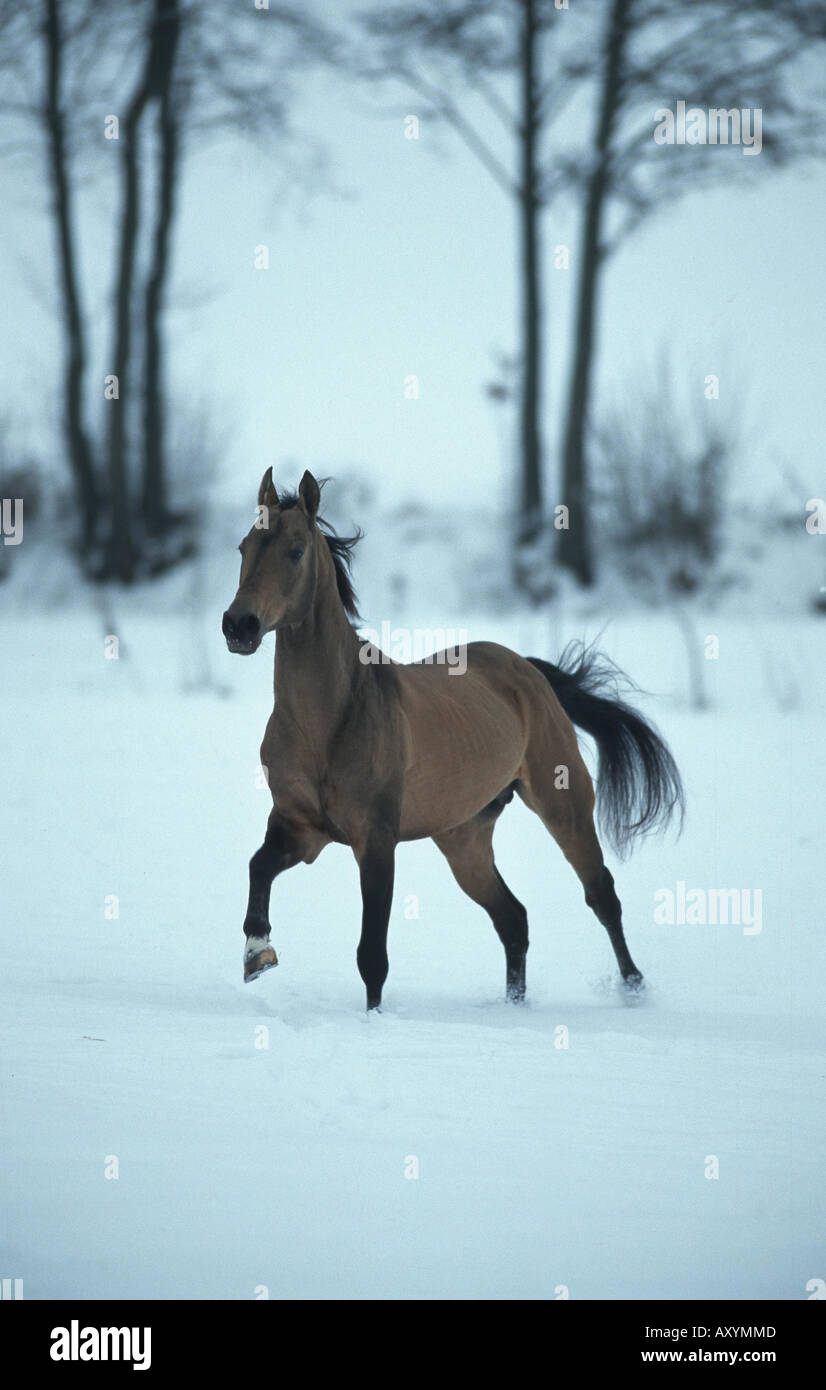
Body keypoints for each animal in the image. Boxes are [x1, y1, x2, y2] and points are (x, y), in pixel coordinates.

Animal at [222, 469, 684, 1010]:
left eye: (295, 550)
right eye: (243, 546)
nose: (239, 625)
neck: (328, 723)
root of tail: (528, 671)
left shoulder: (376, 841)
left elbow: (371, 955)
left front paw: (373, 1019)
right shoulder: (300, 827)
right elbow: (257, 868)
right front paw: (257, 955)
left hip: (562, 803)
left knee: (601, 895)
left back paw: (633, 988)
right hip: (465, 838)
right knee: (513, 918)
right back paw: (515, 1005)